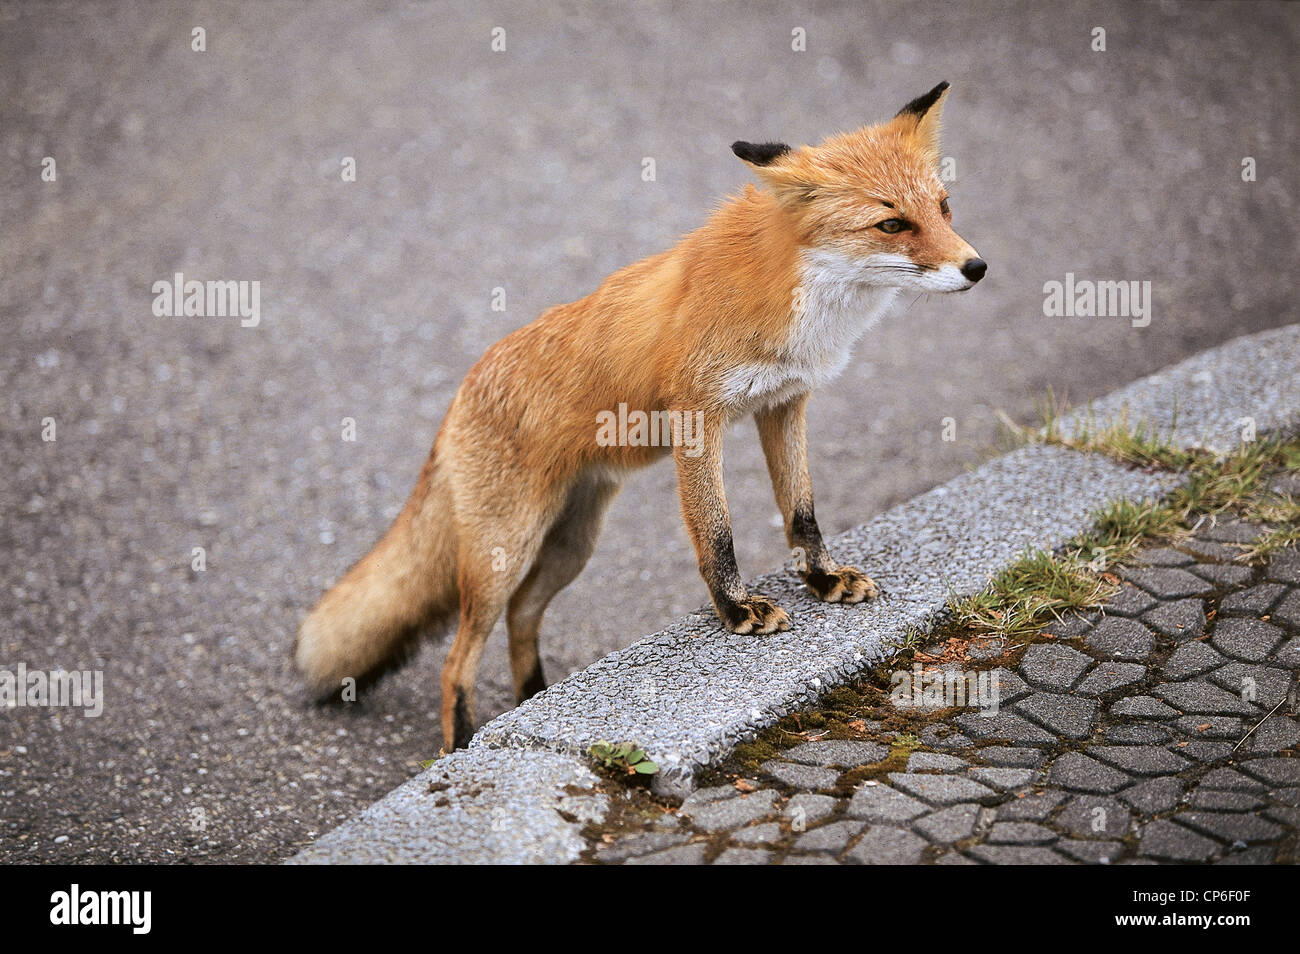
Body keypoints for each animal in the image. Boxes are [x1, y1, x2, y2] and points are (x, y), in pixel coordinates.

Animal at [295, 81, 985, 750]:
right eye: (892, 223)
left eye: (944, 207)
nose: (977, 267)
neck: (795, 293)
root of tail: (459, 396)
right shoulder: (698, 417)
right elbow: (716, 532)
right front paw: (736, 612)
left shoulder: (784, 404)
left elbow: (802, 513)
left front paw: (821, 580)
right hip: (504, 551)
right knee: (456, 661)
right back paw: (462, 744)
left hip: (572, 544)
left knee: (523, 616)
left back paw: (530, 700)